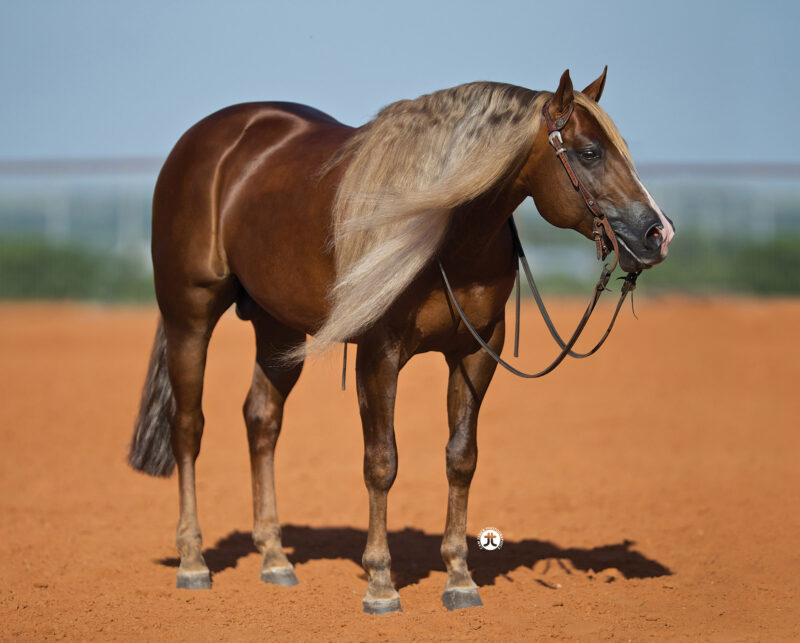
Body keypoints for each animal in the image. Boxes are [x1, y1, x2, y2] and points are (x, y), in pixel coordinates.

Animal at [128, 68, 674, 614]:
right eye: (590, 152)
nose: (658, 234)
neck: (444, 232)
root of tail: (207, 139)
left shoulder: (476, 352)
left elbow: (461, 458)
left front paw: (459, 577)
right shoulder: (379, 355)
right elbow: (382, 462)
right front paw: (380, 582)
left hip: (277, 329)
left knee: (262, 421)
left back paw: (275, 558)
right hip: (189, 315)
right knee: (188, 427)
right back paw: (193, 561)